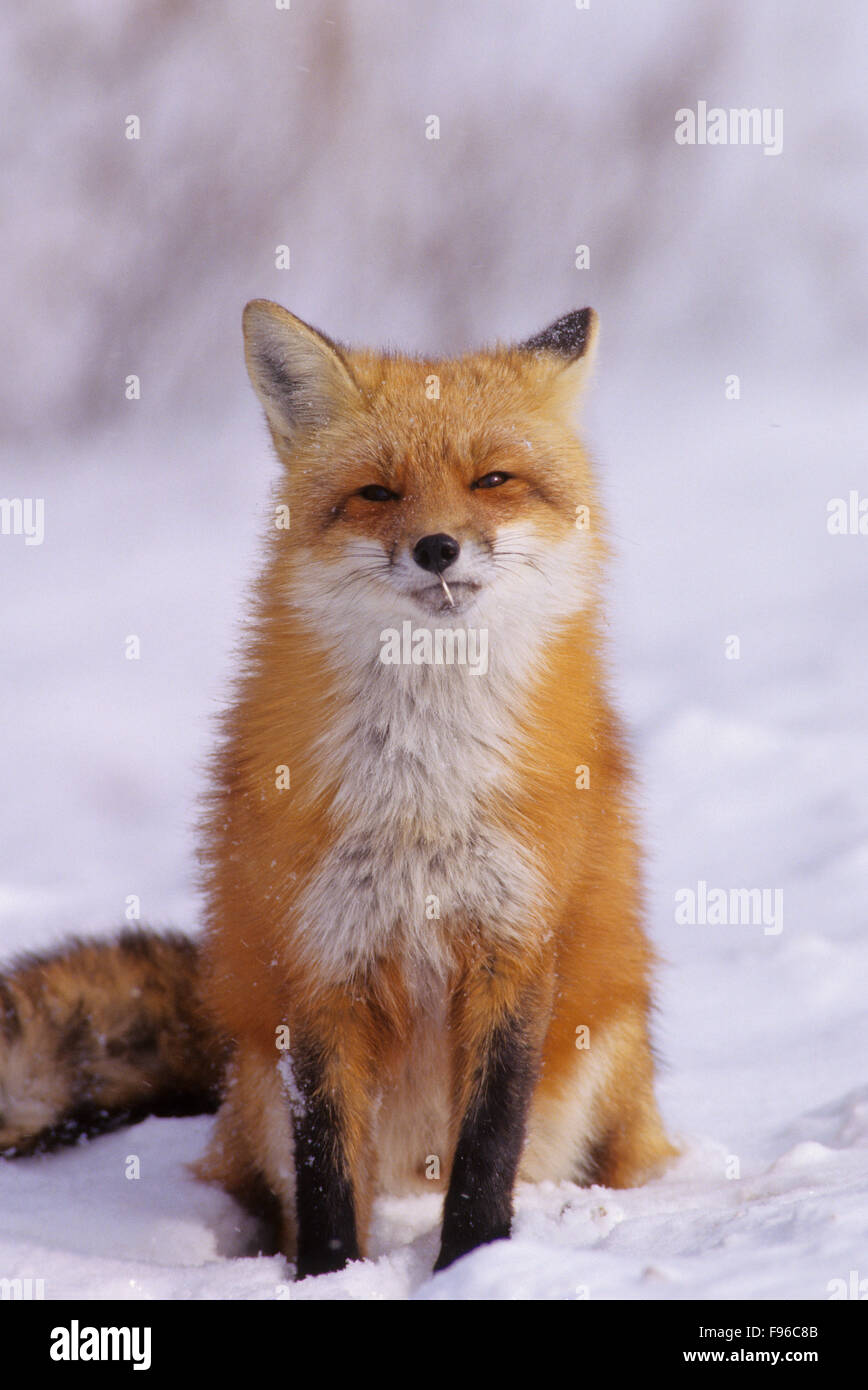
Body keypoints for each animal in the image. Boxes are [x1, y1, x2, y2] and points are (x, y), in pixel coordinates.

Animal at [0, 301, 675, 1277]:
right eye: (378, 493)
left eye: (493, 479)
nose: (438, 547)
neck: (421, 798)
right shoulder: (319, 956)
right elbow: (326, 1163)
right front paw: (329, 1276)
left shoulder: (513, 945)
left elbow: (487, 1145)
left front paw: (471, 1266)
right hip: (255, 1083)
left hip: (604, 1042)